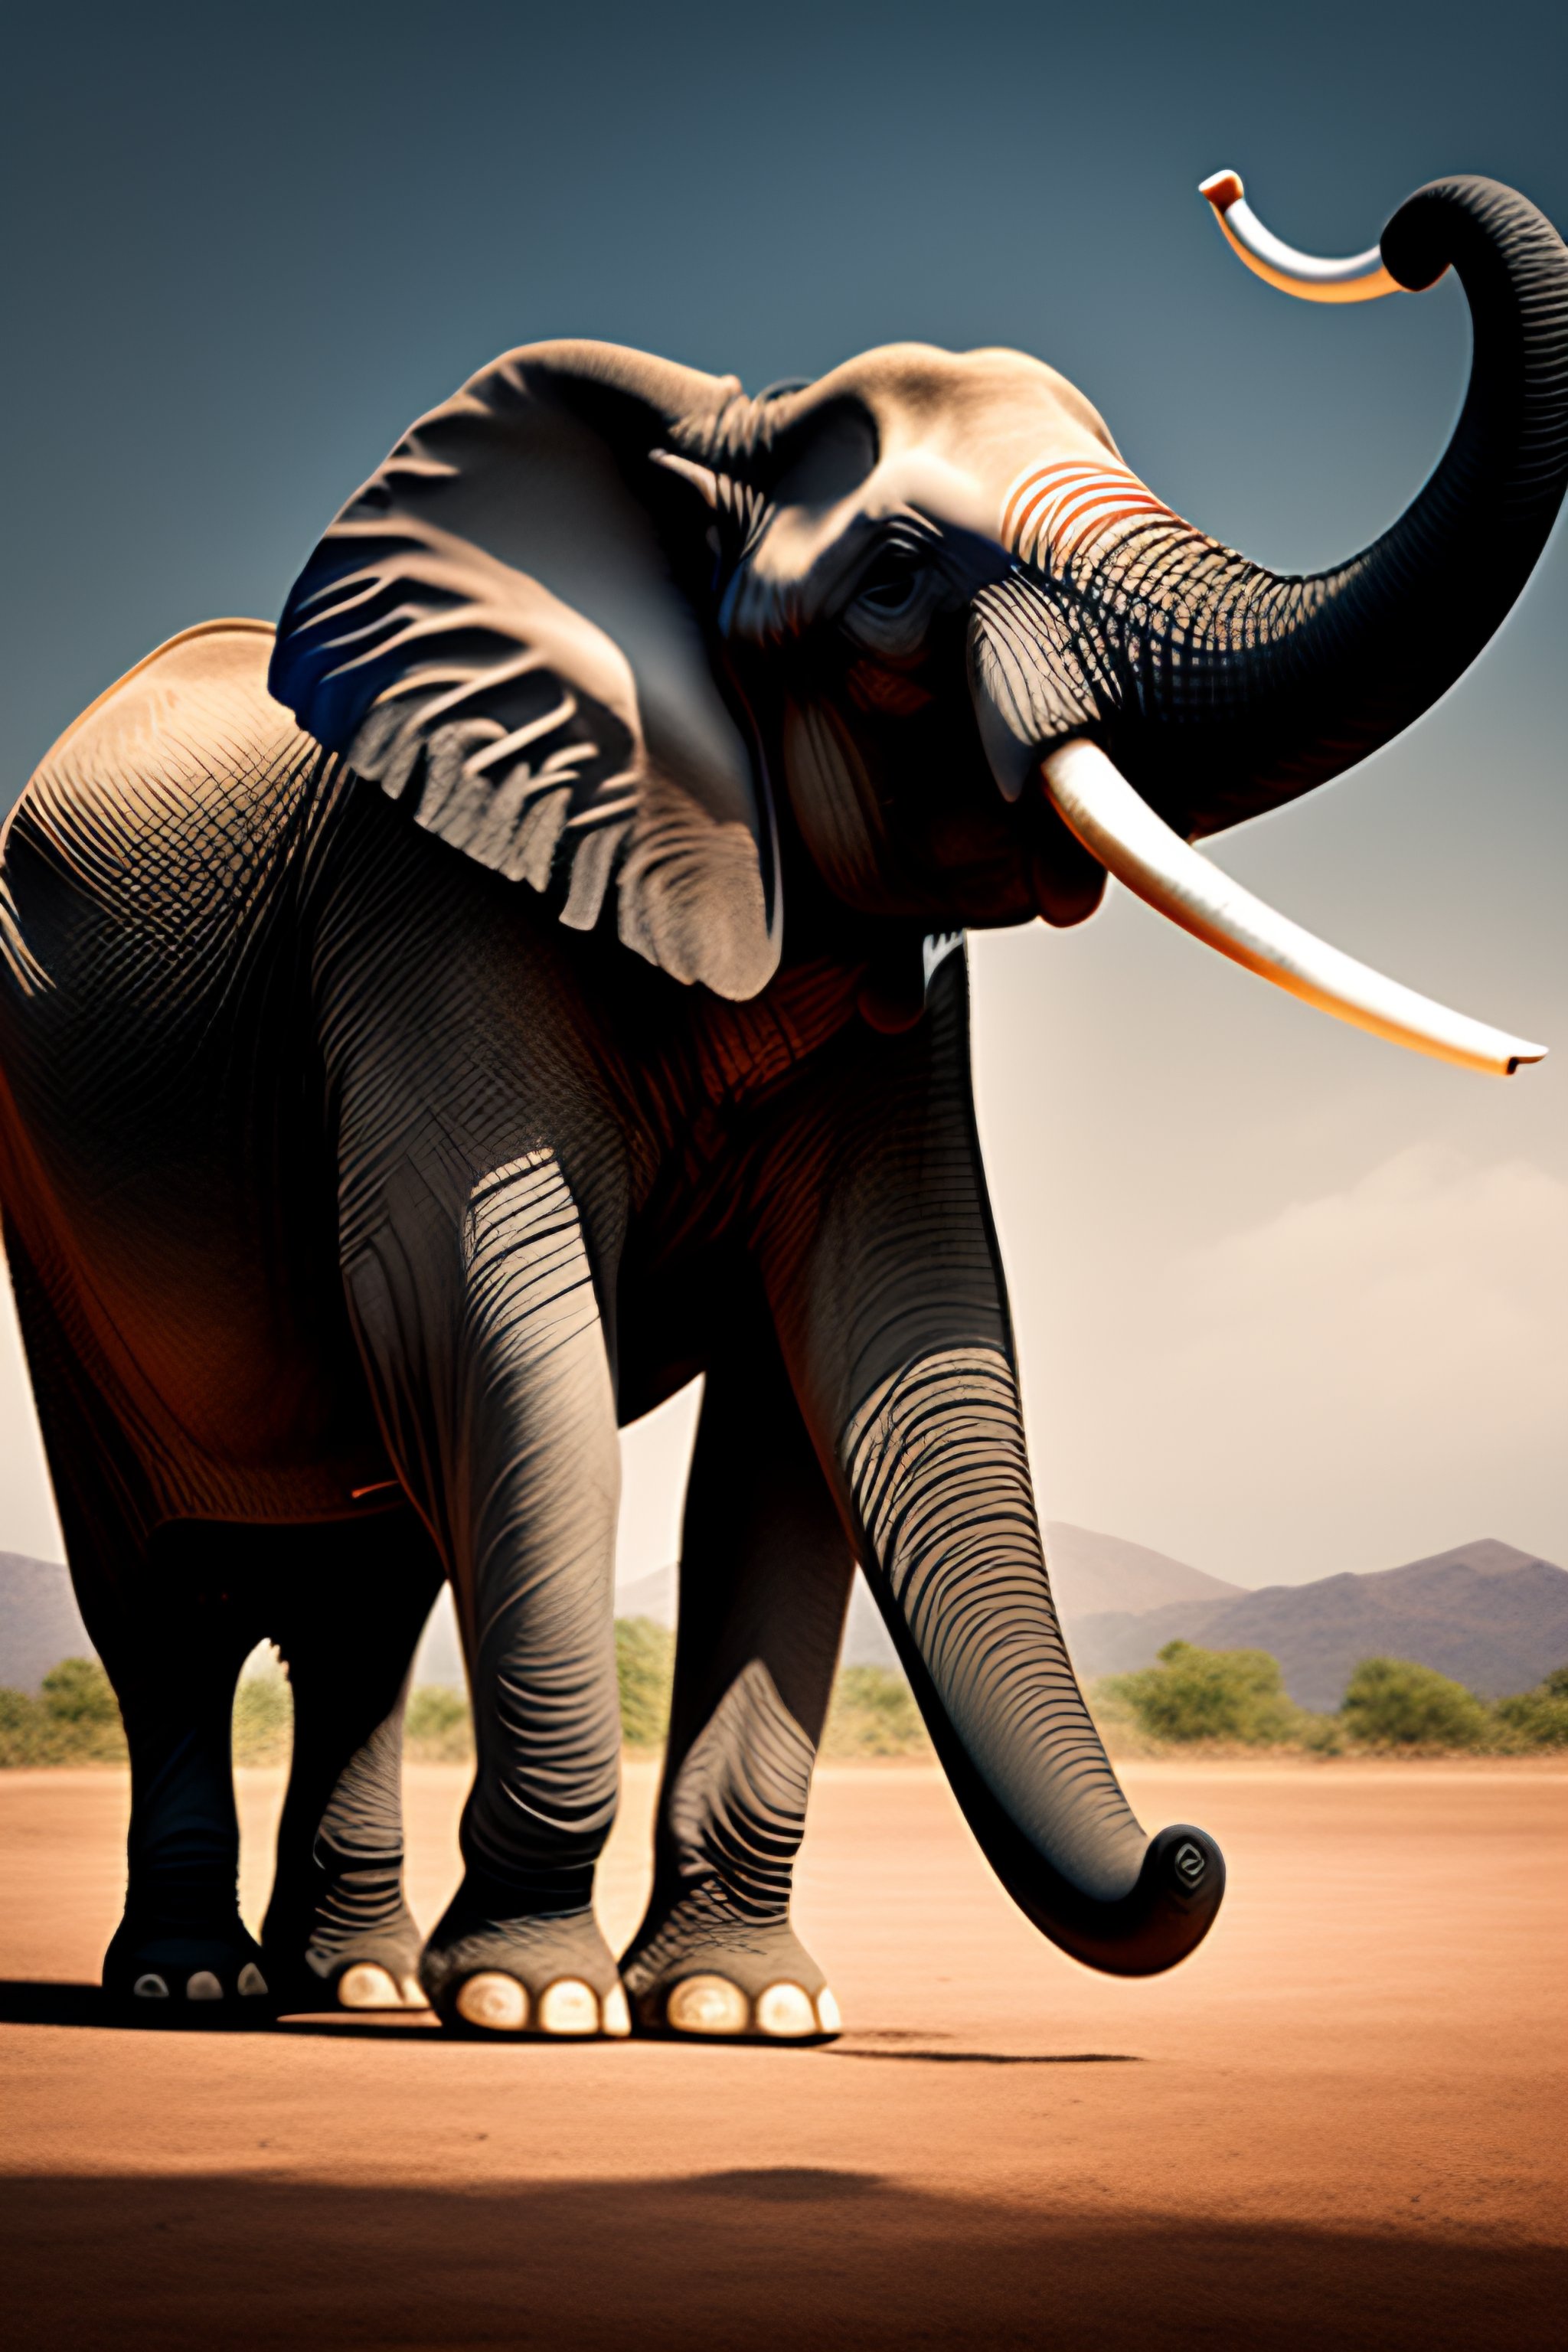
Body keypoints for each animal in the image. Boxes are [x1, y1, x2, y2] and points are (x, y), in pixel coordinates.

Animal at [1, 168, 1561, 2041]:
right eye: (891, 580)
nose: (1189, 1850)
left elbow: (857, 1344)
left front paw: (740, 2015)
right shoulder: (423, 899)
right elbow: (483, 1315)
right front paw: (535, 2006)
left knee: (366, 1595)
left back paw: (354, 1983)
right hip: (45, 1198)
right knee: (164, 1600)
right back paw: (196, 1985)